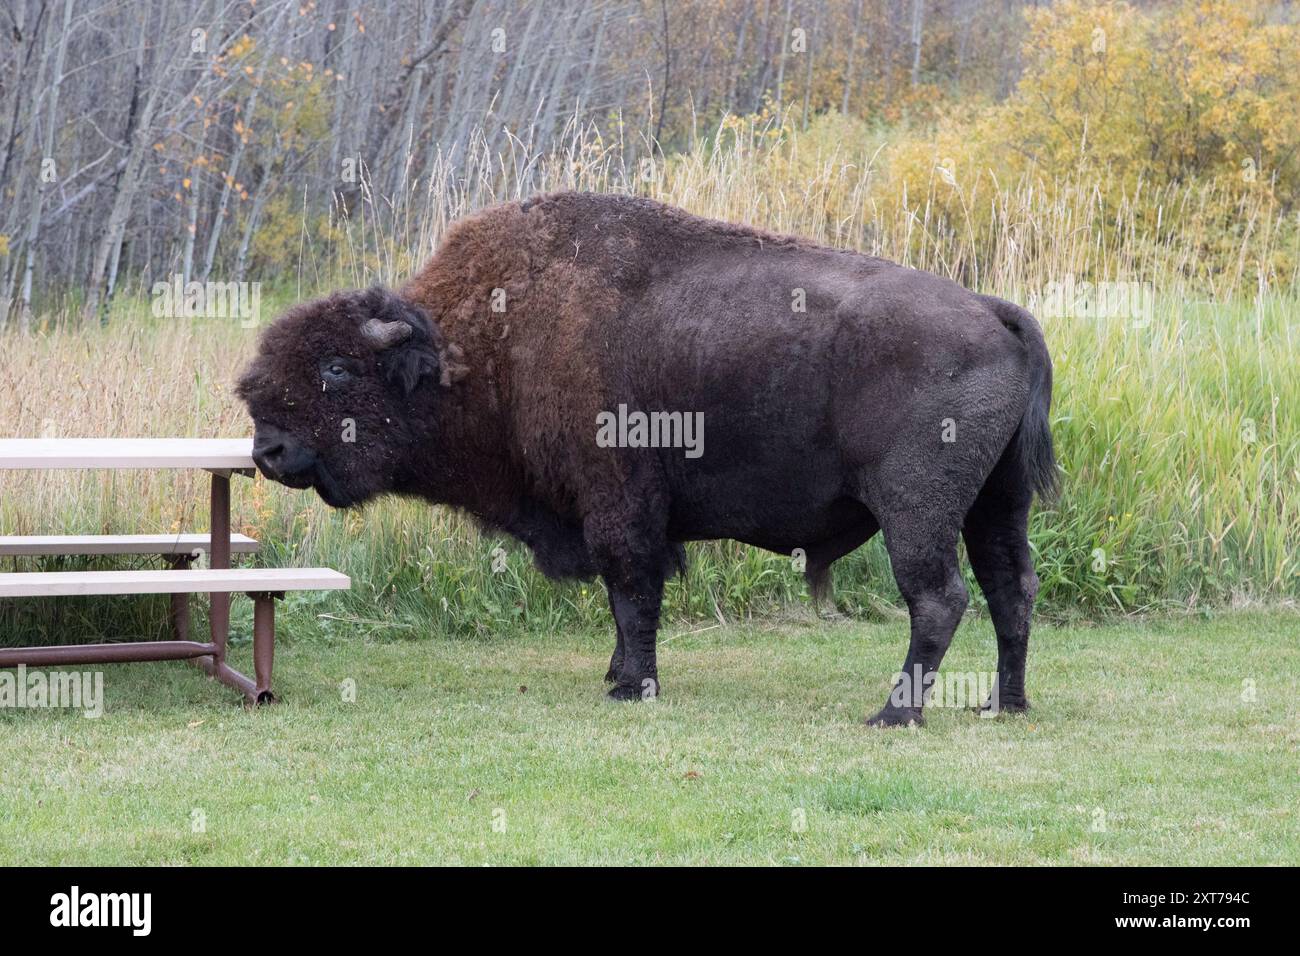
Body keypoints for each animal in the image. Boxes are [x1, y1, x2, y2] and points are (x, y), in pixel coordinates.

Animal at [237, 191, 1055, 726]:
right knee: (1011, 590)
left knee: (939, 598)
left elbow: (631, 590)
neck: (474, 346)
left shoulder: (618, 503)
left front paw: (631, 687)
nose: (267, 448)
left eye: (337, 368)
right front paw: (615, 675)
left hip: (916, 511)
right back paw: (1004, 704)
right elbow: (621, 600)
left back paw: (893, 714)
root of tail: (994, 312)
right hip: (997, 504)